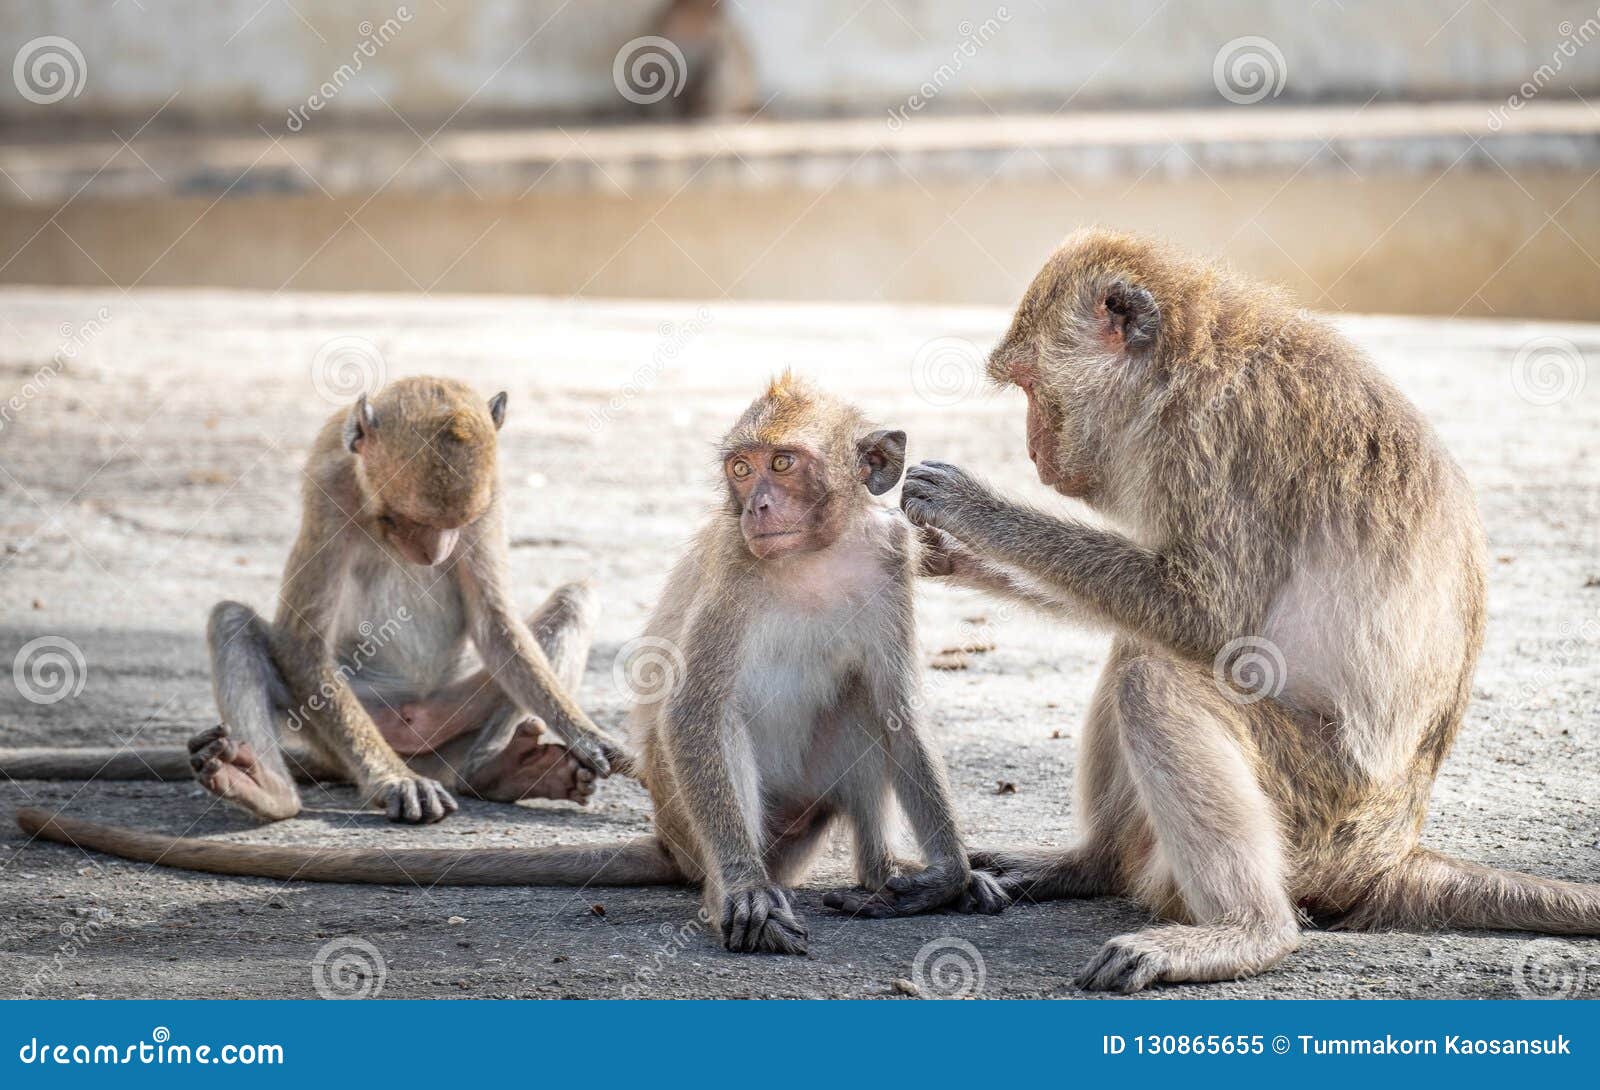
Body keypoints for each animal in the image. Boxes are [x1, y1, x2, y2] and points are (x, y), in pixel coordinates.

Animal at [2, 377, 626, 825]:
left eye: (457, 523)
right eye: (404, 520)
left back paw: (492, 774)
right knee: (234, 623)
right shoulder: (328, 490)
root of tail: (417, 738)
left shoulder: (492, 497)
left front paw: (589, 736)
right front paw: (392, 781)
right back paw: (270, 791)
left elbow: (497, 627)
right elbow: (300, 641)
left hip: (451, 721)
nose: (436, 552)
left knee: (572, 601)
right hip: (333, 729)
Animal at [901, 228, 1600, 992]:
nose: (1030, 450)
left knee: (1156, 678)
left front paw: (975, 511)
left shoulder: (1208, 440)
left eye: (1030, 386)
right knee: (1136, 650)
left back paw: (1248, 932)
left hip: (1319, 809)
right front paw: (948, 555)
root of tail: (1392, 851)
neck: (1181, 365)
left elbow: (1206, 615)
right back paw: (1092, 866)